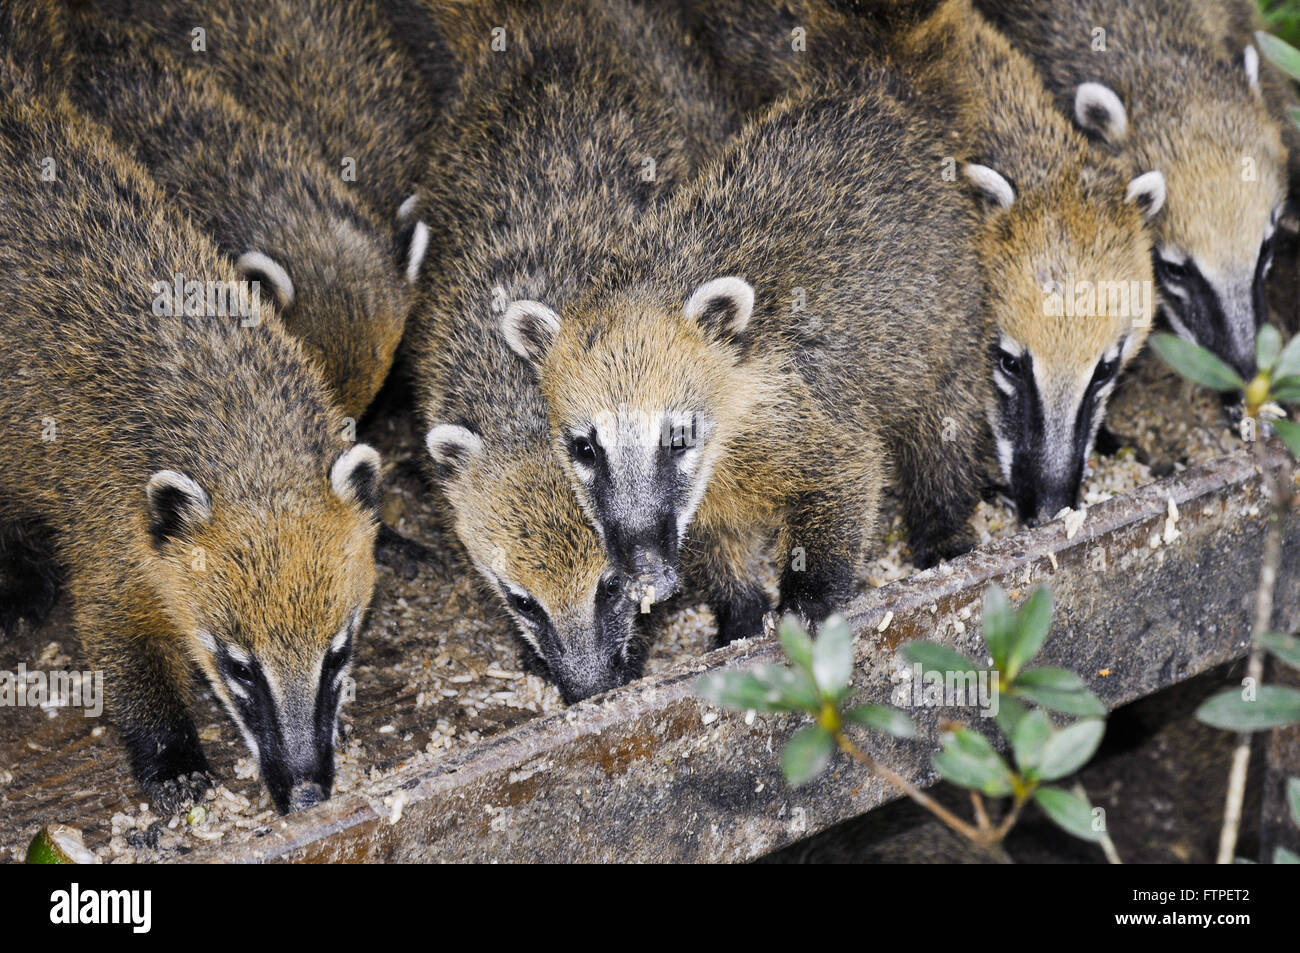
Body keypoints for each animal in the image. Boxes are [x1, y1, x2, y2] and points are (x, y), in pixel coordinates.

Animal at [0, 59, 382, 813]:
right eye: (240, 667)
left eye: (338, 654)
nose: (306, 791)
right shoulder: (107, 511)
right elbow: (115, 627)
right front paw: (171, 752)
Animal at [504, 67, 990, 638]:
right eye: (584, 448)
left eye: (679, 437)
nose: (645, 568)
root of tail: (879, 95)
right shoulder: (698, 499)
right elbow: (712, 537)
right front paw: (737, 607)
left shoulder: (801, 403)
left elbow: (847, 474)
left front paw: (809, 600)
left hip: (949, 314)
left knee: (943, 423)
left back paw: (943, 522)